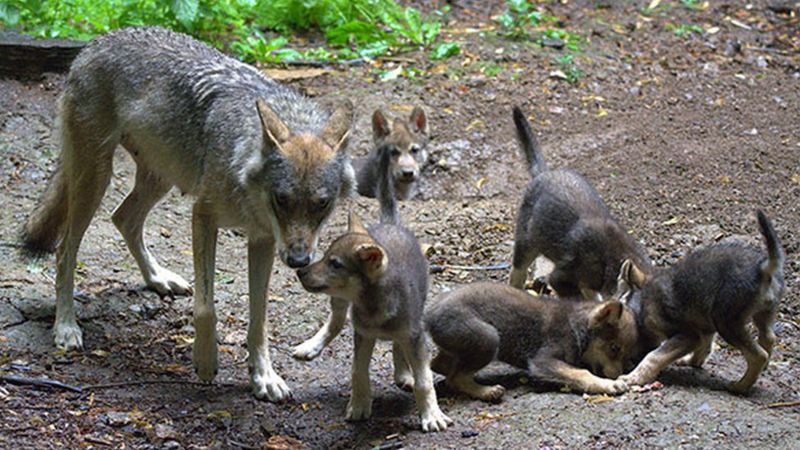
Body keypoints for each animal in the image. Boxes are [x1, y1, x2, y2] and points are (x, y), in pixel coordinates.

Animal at [21, 27, 355, 402]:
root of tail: (98, 40)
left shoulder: (264, 240)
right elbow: (206, 307)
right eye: (281, 200)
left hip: (160, 178)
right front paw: (206, 361)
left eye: (322, 204)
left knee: (123, 218)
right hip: (95, 178)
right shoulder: (204, 216)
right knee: (66, 250)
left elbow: (259, 318)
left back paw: (158, 278)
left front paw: (264, 377)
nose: (298, 261)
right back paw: (66, 327)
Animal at [296, 145, 451, 432]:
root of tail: (391, 223)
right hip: (337, 301)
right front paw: (359, 405)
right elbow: (358, 371)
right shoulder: (363, 334)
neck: (372, 305)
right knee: (335, 323)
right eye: (325, 256)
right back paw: (311, 345)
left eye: (335, 264)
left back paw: (403, 373)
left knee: (398, 347)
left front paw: (431, 414)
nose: (300, 271)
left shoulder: (415, 335)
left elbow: (424, 380)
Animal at [425, 283, 636, 402]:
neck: (577, 327)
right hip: (489, 338)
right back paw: (486, 392)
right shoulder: (543, 361)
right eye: (614, 348)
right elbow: (581, 373)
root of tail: (429, 314)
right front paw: (609, 385)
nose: (619, 375)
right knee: (455, 377)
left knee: (440, 366)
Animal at [617, 211, 784, 394]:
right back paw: (761, 371)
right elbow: (704, 348)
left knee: (759, 355)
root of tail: (763, 268)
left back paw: (740, 386)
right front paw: (691, 362)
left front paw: (633, 378)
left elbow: (654, 356)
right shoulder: (704, 327)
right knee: (769, 338)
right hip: (761, 315)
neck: (642, 301)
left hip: (726, 324)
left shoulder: (689, 335)